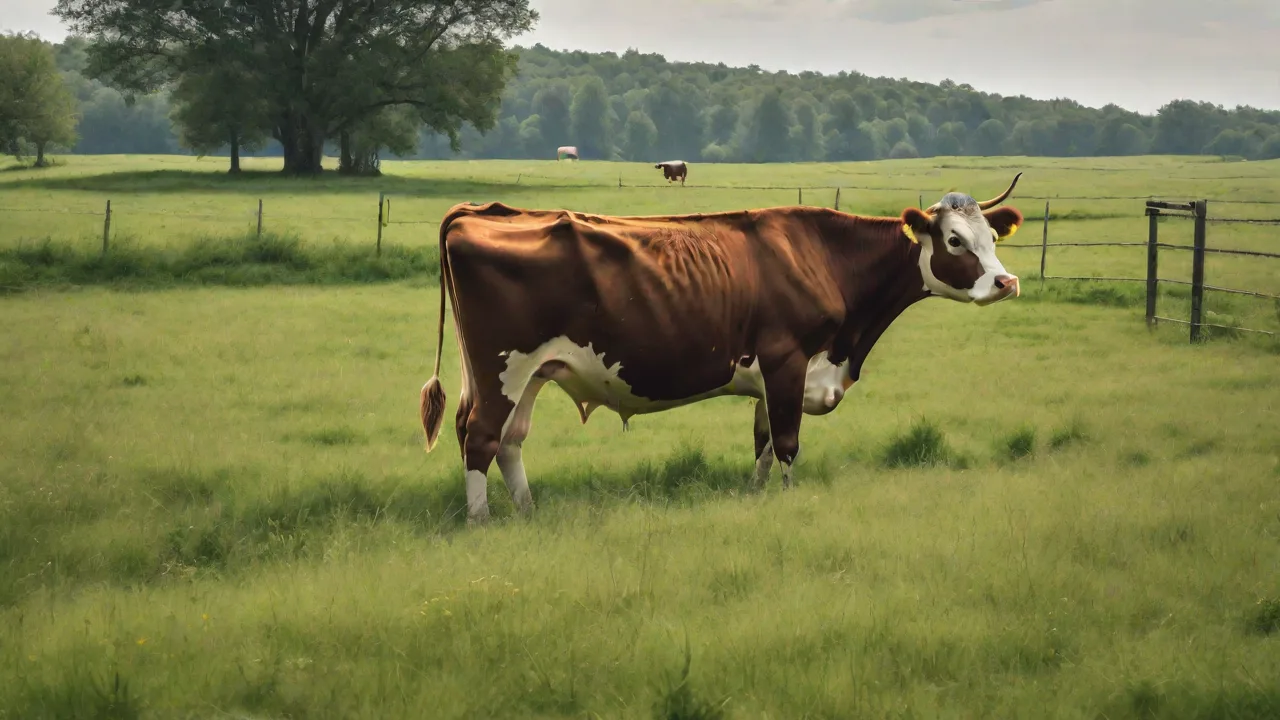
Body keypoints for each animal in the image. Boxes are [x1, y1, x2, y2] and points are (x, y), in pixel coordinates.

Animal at [419, 174, 1025, 525]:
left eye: (993, 238)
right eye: (954, 241)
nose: (1006, 282)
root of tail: (483, 210)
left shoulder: (775, 378)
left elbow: (762, 443)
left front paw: (756, 499)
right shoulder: (786, 361)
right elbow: (787, 444)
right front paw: (787, 504)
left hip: (532, 371)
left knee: (509, 439)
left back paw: (527, 512)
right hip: (503, 366)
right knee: (480, 435)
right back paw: (481, 522)